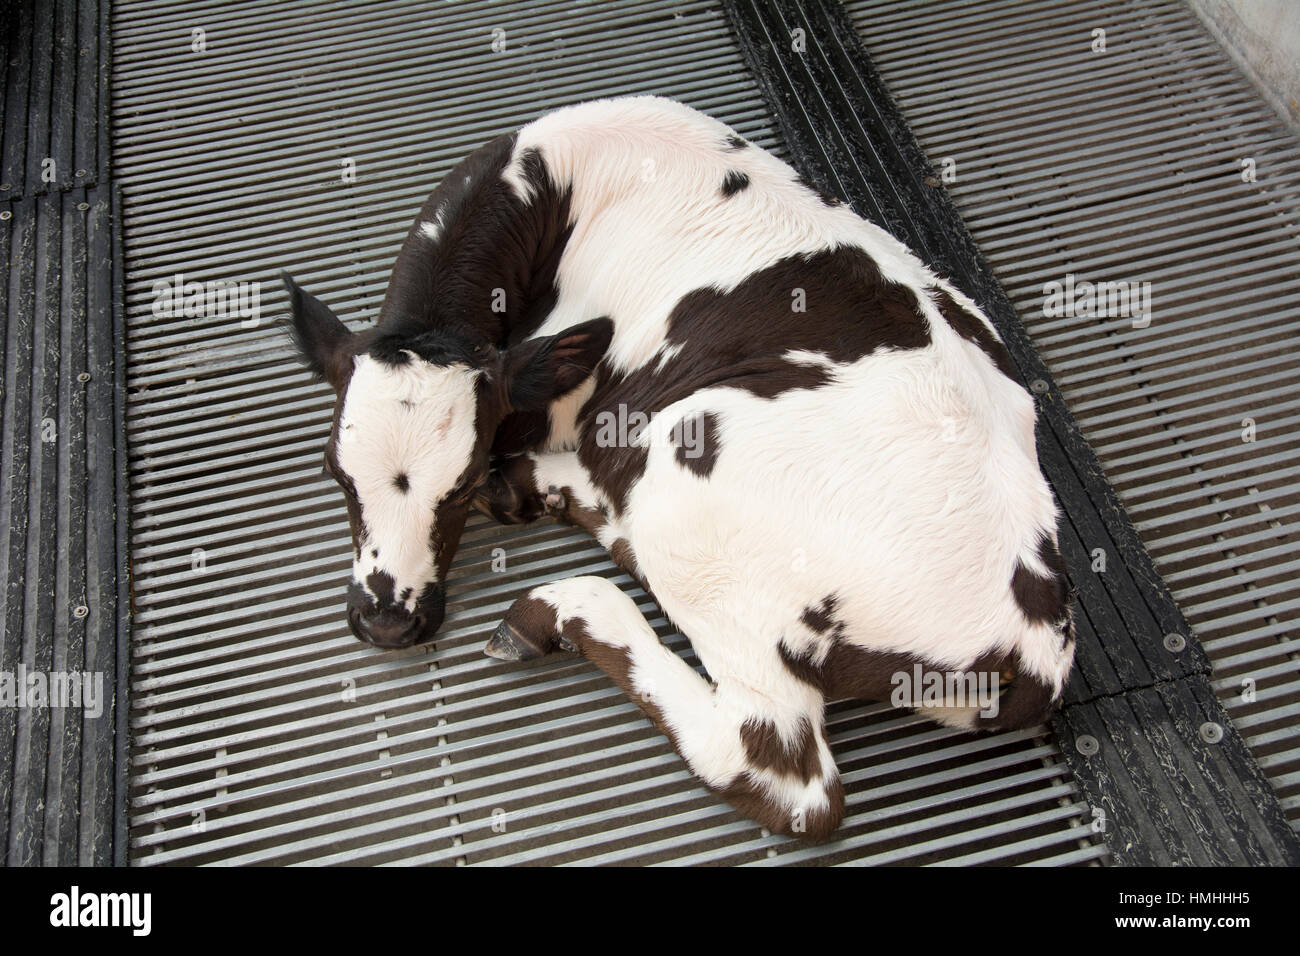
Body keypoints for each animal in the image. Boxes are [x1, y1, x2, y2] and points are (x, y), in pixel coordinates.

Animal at [282, 96, 1076, 838]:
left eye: (461, 481)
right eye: (334, 473)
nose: (388, 623)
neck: (559, 179)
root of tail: (1037, 639)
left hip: (694, 485)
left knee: (782, 772)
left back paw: (555, 601)